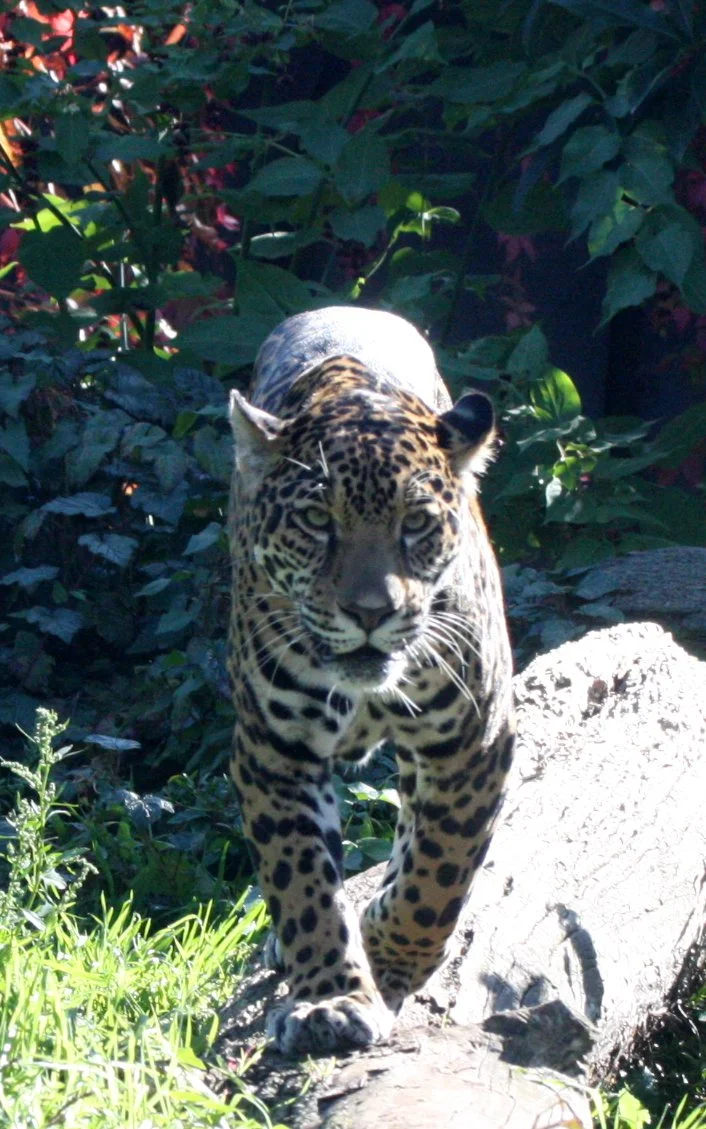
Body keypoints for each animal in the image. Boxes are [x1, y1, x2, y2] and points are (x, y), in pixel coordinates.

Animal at [227, 306, 515, 1056]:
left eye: (415, 524)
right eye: (315, 521)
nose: (369, 612)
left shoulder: (473, 741)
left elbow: (439, 872)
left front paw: (389, 956)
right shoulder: (273, 750)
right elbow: (303, 882)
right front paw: (331, 997)